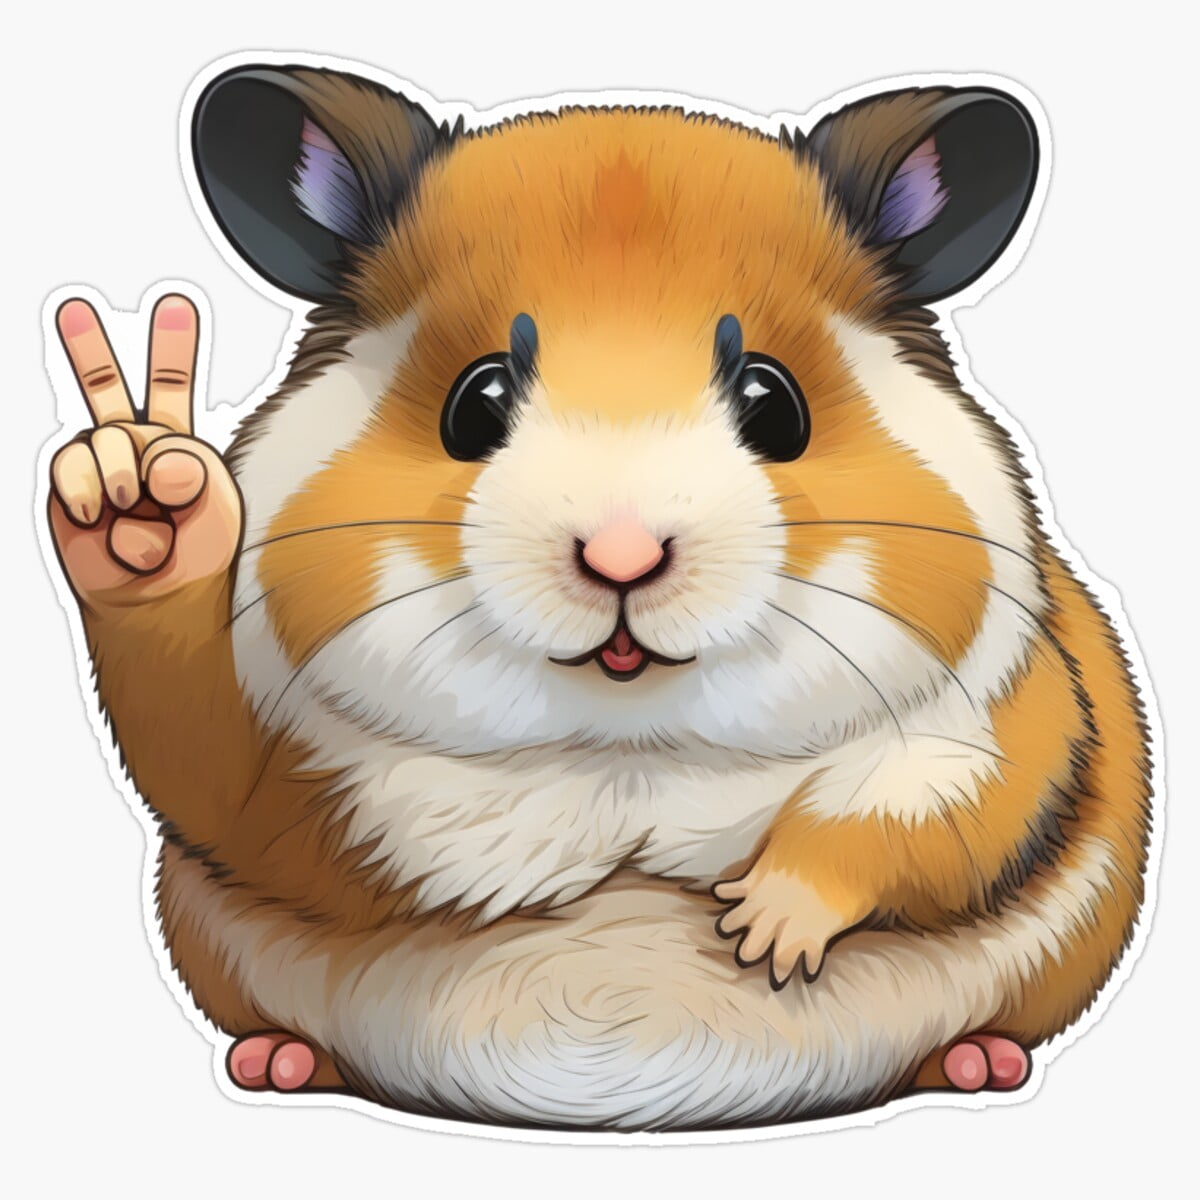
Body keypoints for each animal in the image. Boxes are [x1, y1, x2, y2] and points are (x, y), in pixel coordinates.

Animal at [45, 65, 1152, 1131]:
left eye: (774, 404)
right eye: (477, 403)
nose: (623, 558)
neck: (629, 756)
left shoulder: (998, 727)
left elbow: (909, 818)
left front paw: (760, 936)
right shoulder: (287, 773)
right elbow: (206, 758)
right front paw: (138, 489)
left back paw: (978, 1063)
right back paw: (276, 1063)